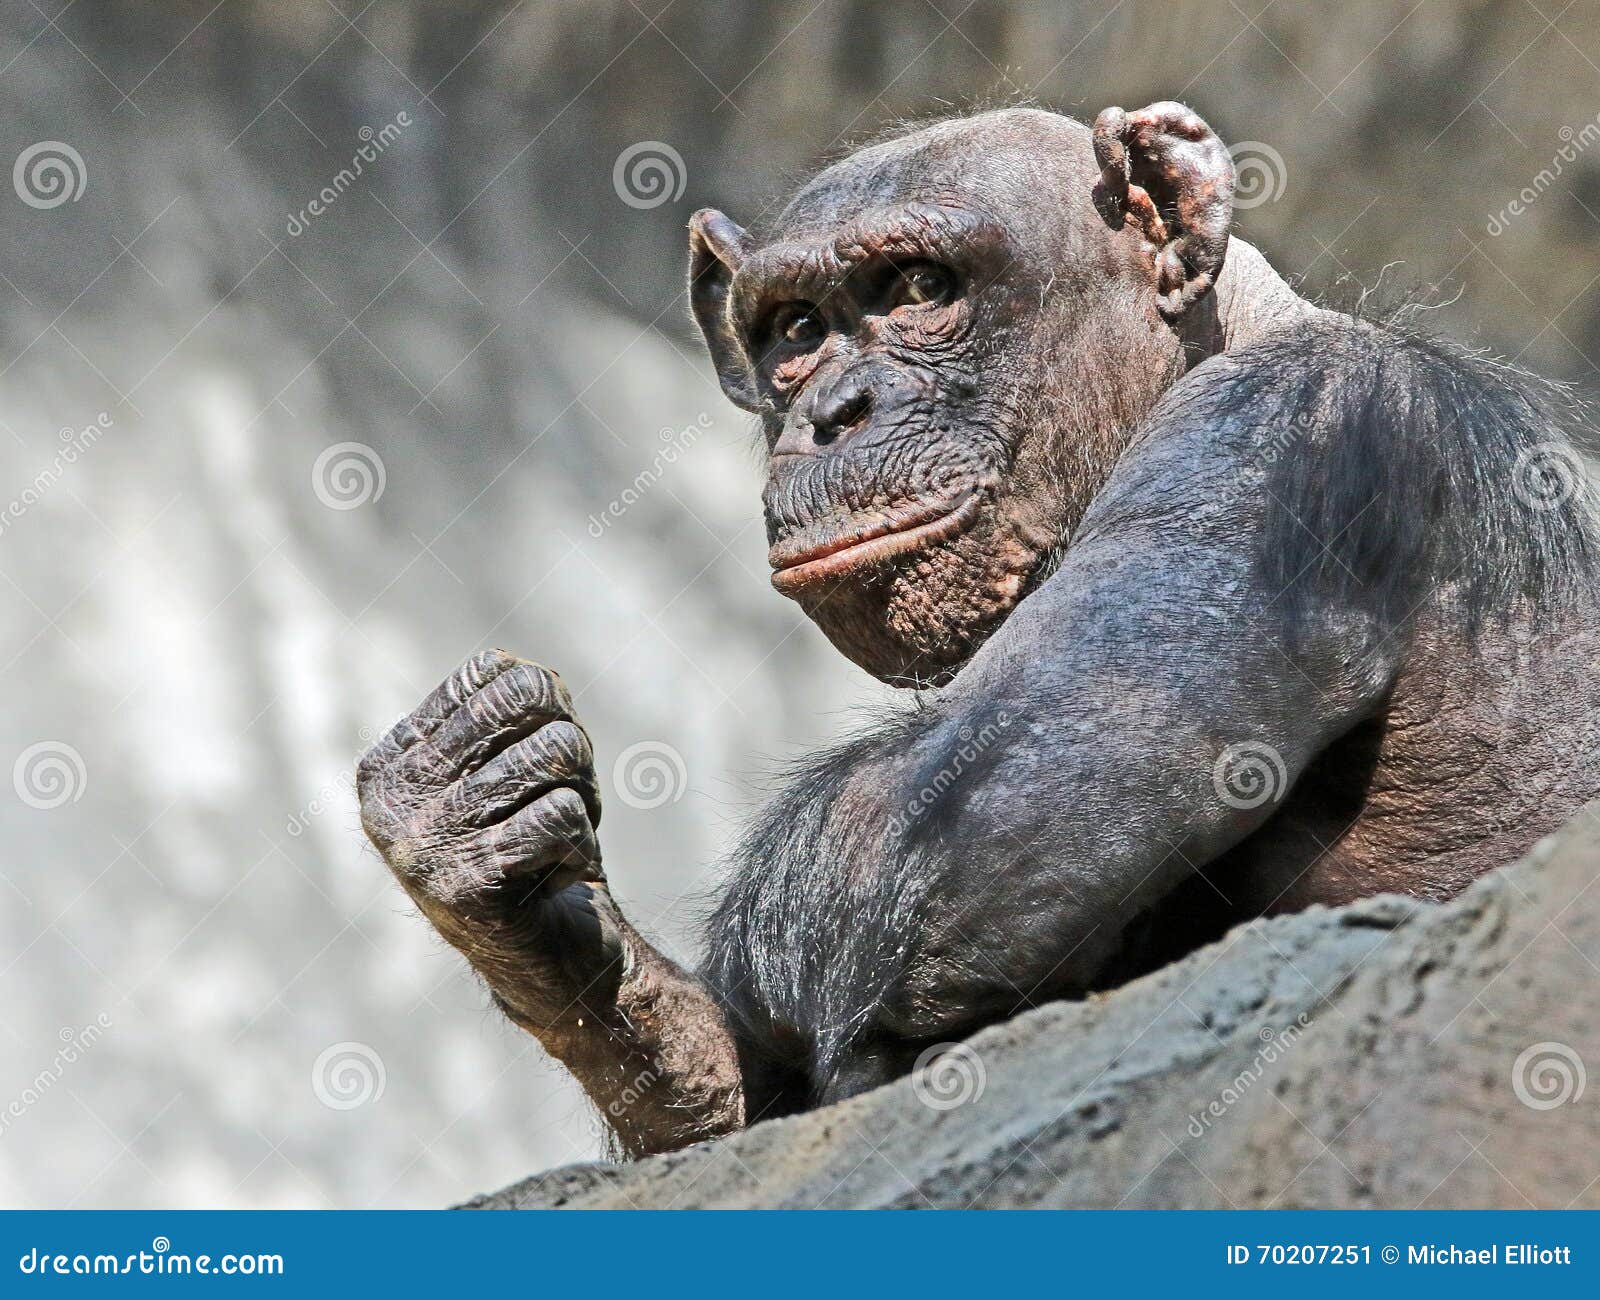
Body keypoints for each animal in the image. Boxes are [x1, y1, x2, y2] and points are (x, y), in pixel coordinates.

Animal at [356, 102, 1600, 1158]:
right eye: (795, 327)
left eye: (917, 286)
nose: (831, 413)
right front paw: (478, 825)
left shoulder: (1271, 441)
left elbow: (972, 831)